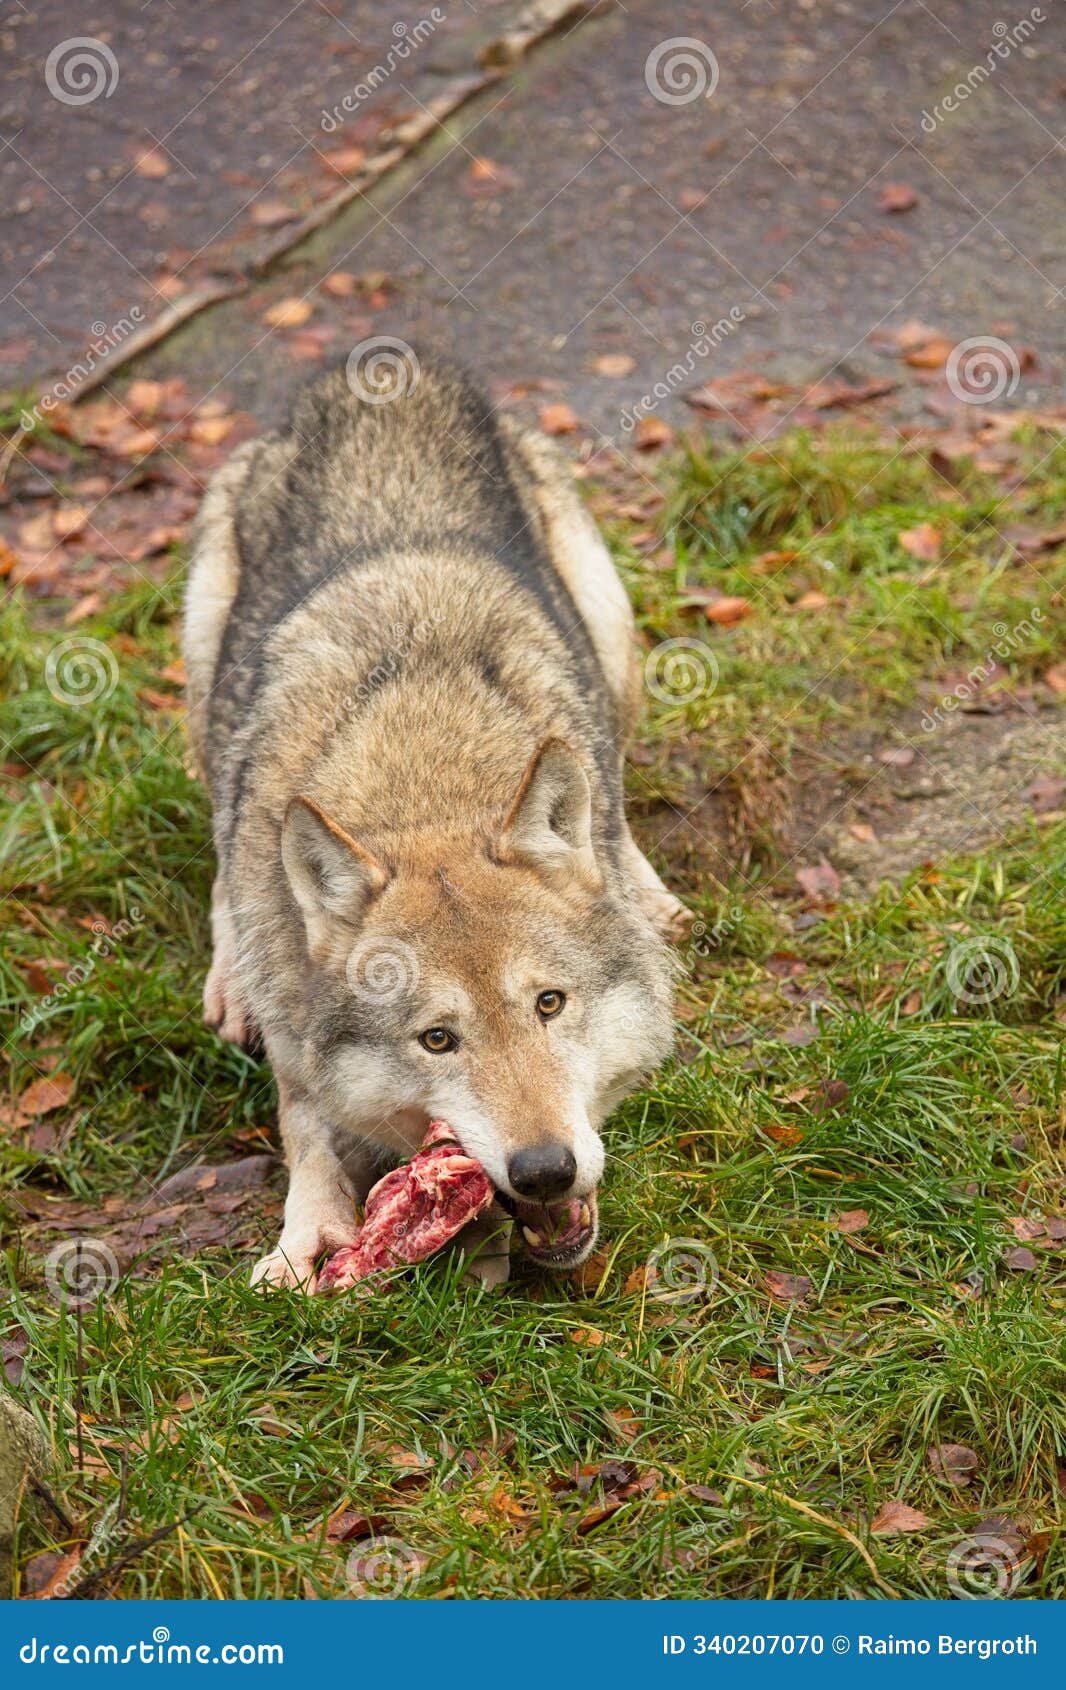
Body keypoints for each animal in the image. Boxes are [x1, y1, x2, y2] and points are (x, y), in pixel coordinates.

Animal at [183, 350, 683, 1290]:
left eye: (550, 1004)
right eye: (438, 1039)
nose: (544, 1170)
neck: (425, 778)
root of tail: (385, 369)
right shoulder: (299, 1030)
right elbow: (304, 1117)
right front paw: (309, 1229)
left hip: (611, 626)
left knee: (613, 785)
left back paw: (647, 896)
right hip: (201, 669)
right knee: (224, 865)